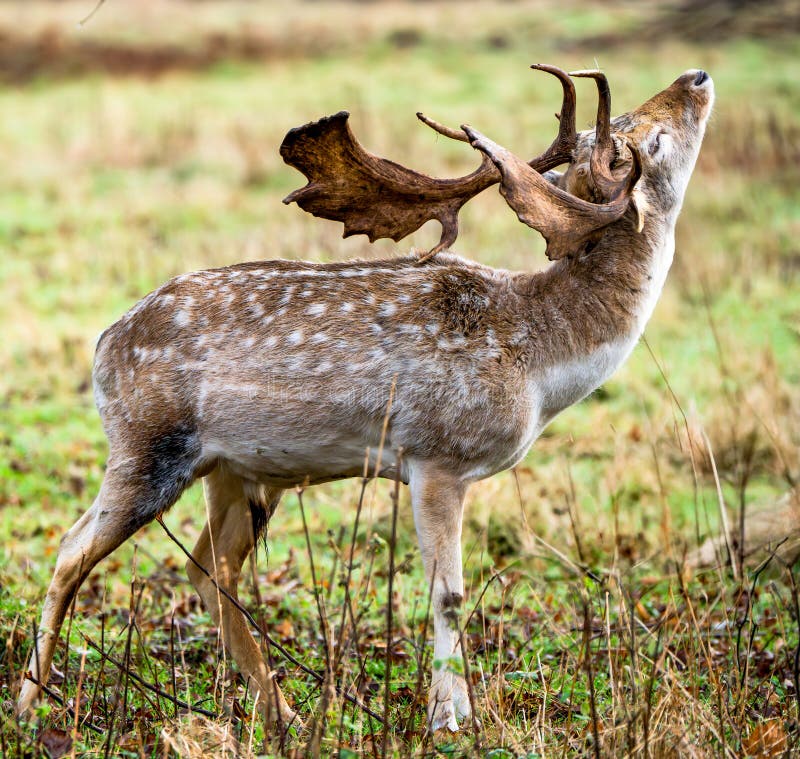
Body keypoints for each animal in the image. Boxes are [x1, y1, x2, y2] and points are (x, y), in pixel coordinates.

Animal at [17, 65, 714, 734]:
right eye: (642, 141)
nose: (697, 78)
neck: (540, 358)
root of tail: (104, 345)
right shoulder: (436, 455)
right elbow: (447, 593)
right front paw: (451, 720)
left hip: (235, 470)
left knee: (208, 567)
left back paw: (283, 715)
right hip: (148, 443)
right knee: (71, 551)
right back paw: (30, 706)